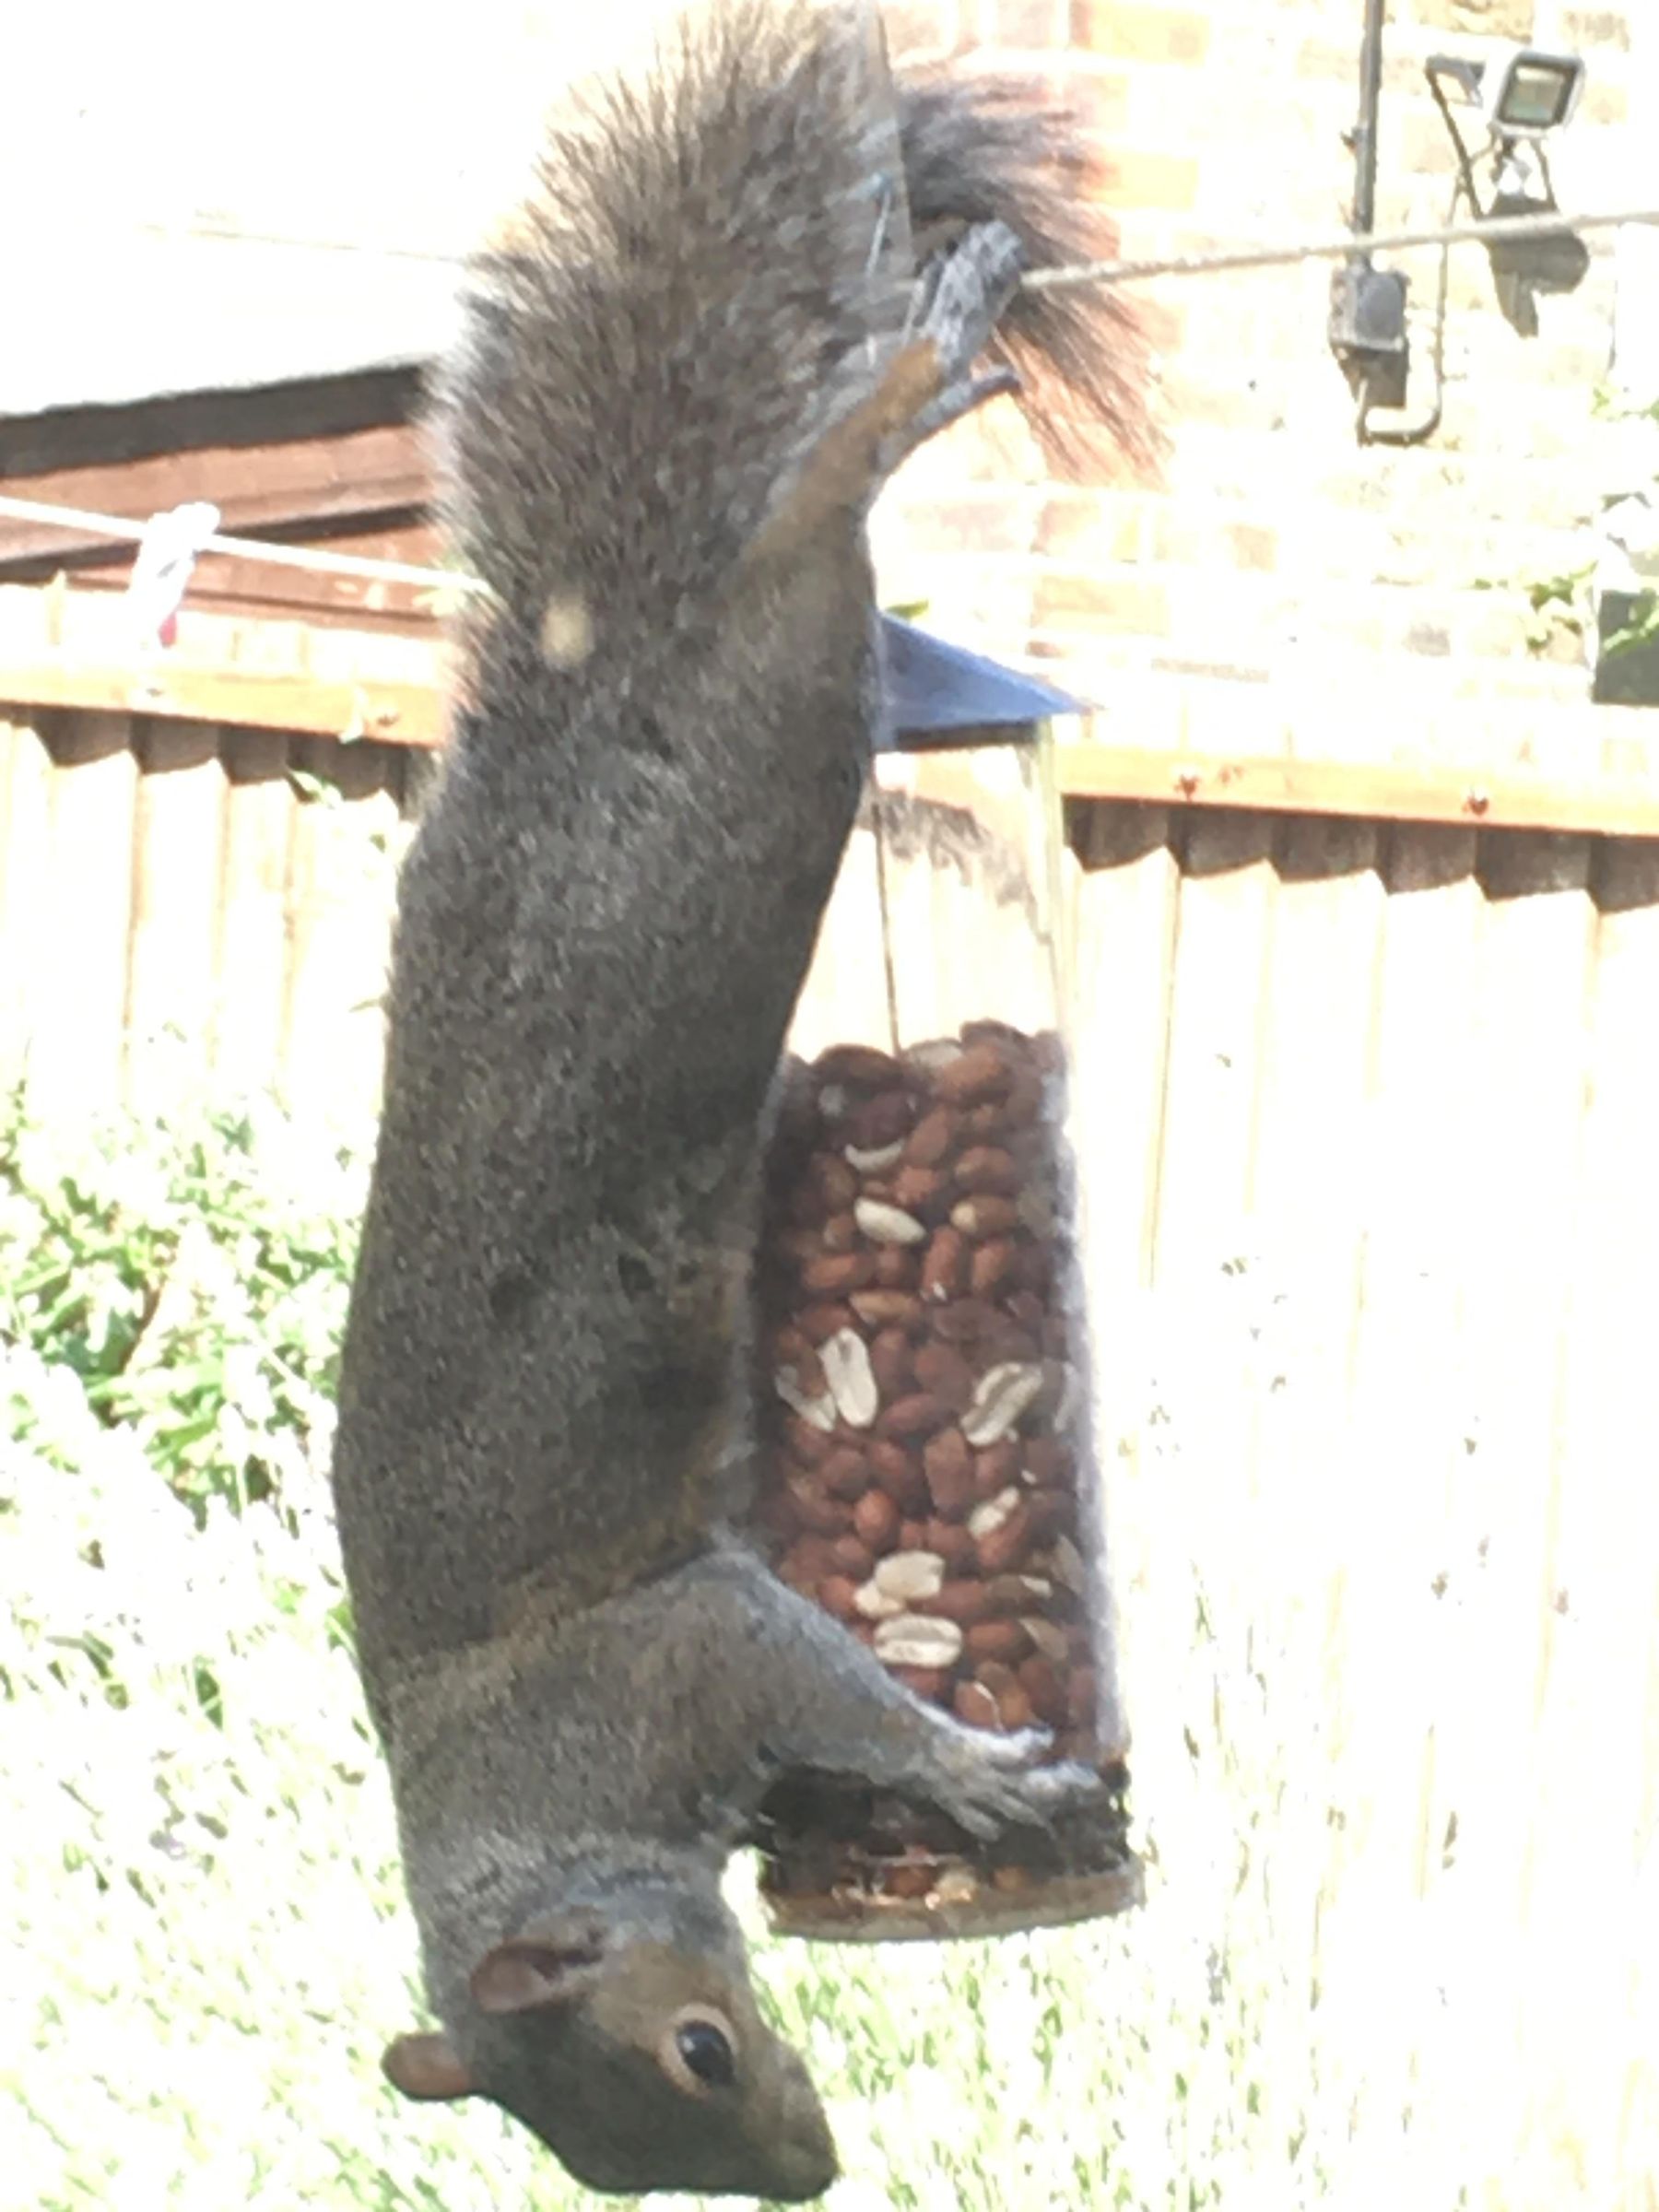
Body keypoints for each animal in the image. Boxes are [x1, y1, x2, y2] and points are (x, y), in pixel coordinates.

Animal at [328, 3, 1154, 2199]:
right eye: (629, 2155)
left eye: (699, 2050)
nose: (814, 2171)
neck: (541, 1802)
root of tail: (585, 687)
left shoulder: (681, 1653)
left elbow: (836, 1688)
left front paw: (982, 1776)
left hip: (762, 739)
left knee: (806, 552)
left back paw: (910, 386)